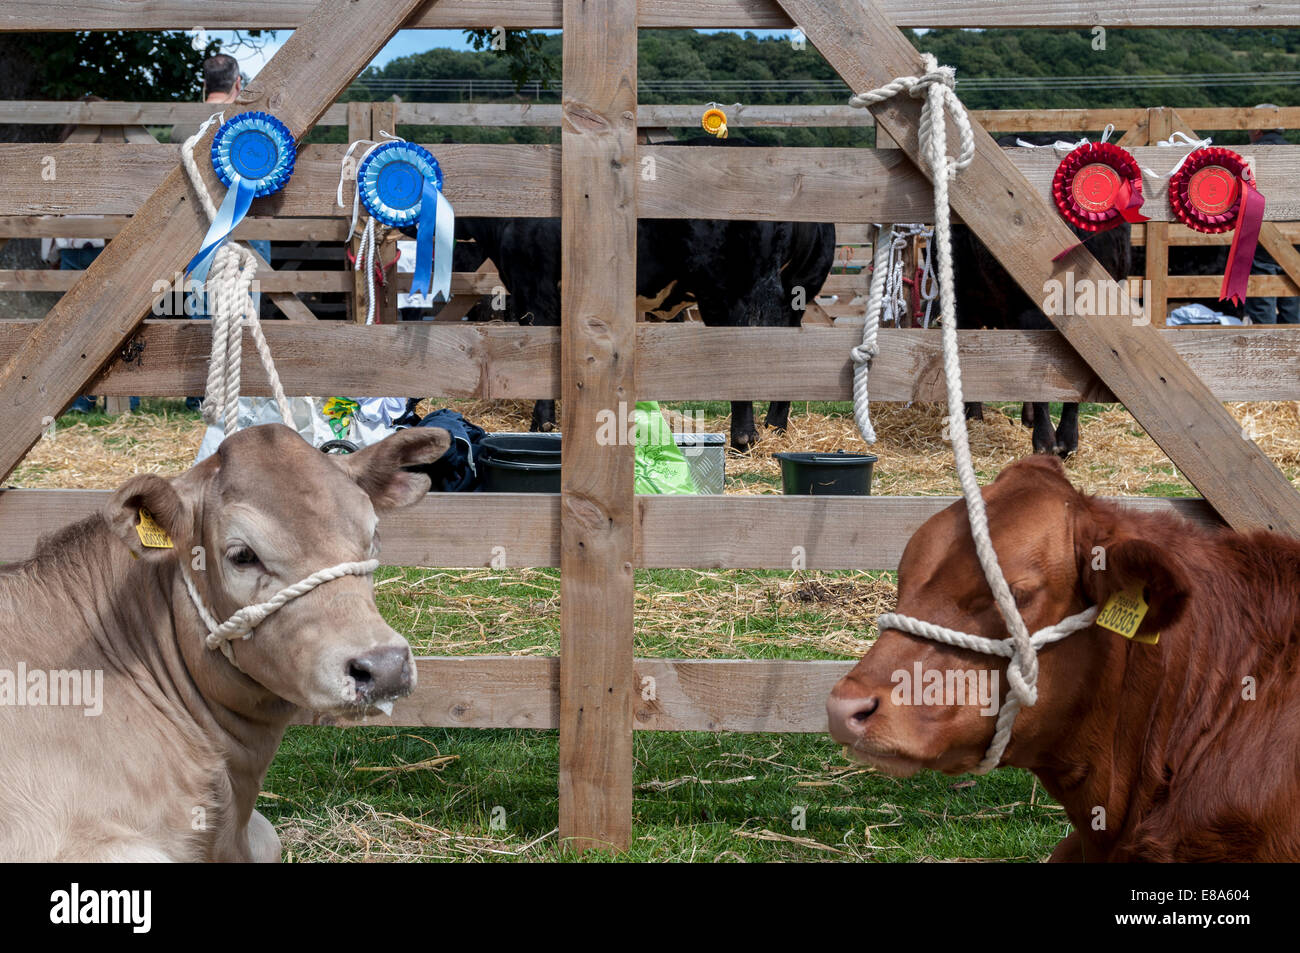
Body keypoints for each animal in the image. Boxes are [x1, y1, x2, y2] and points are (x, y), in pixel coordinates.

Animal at [455, 137, 836, 450]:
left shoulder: (535, 291)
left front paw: (543, 424)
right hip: (799, 291)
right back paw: (775, 429)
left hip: (728, 295)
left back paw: (744, 439)